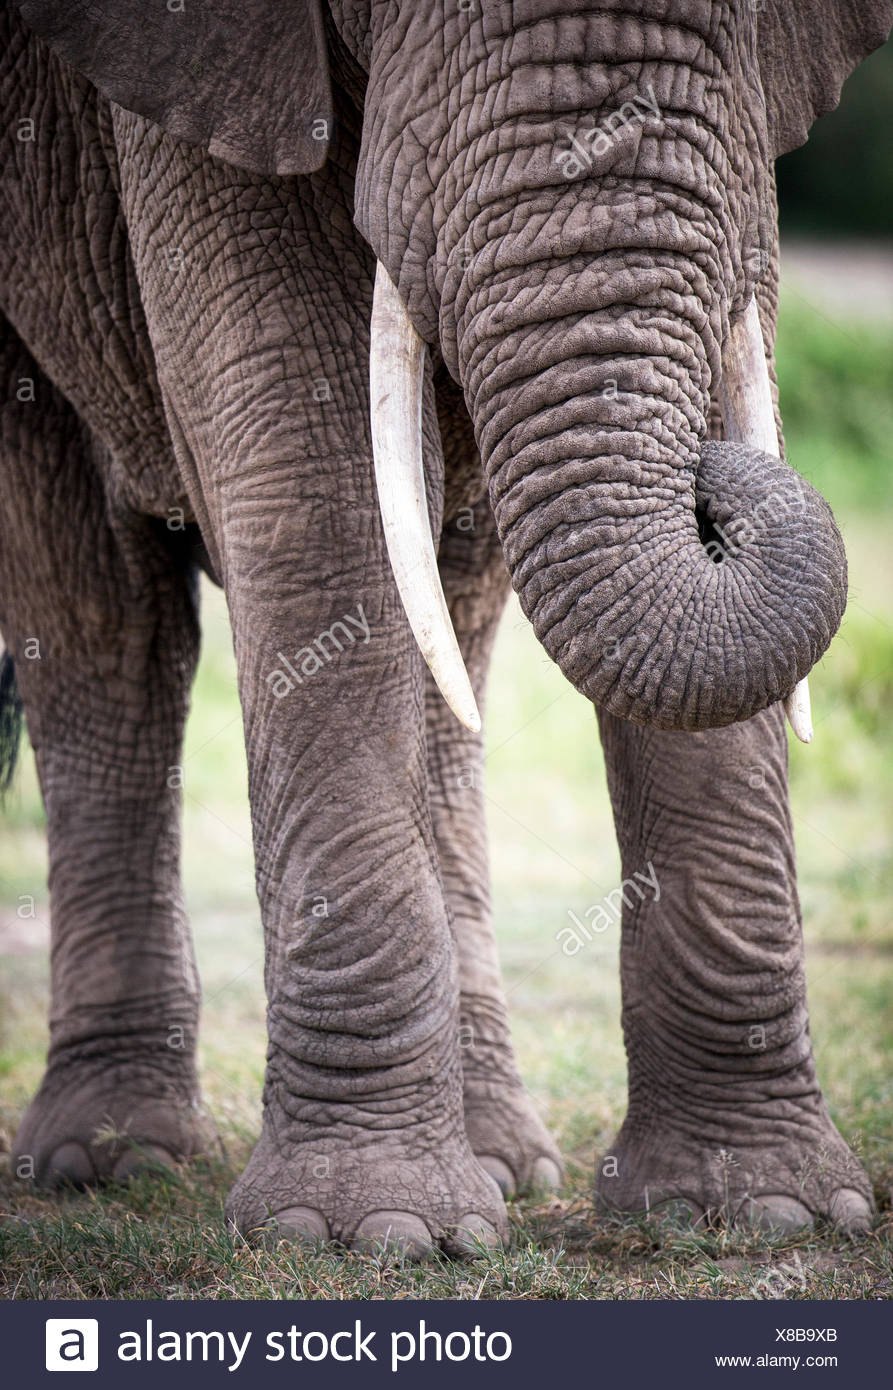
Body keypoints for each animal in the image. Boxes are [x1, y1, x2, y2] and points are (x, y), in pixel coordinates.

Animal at [1, 0, 890, 1258]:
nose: (714, 496)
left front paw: (766, 1208)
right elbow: (312, 478)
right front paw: (358, 1235)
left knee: (450, 618)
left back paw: (506, 1164)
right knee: (100, 613)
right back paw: (108, 1164)